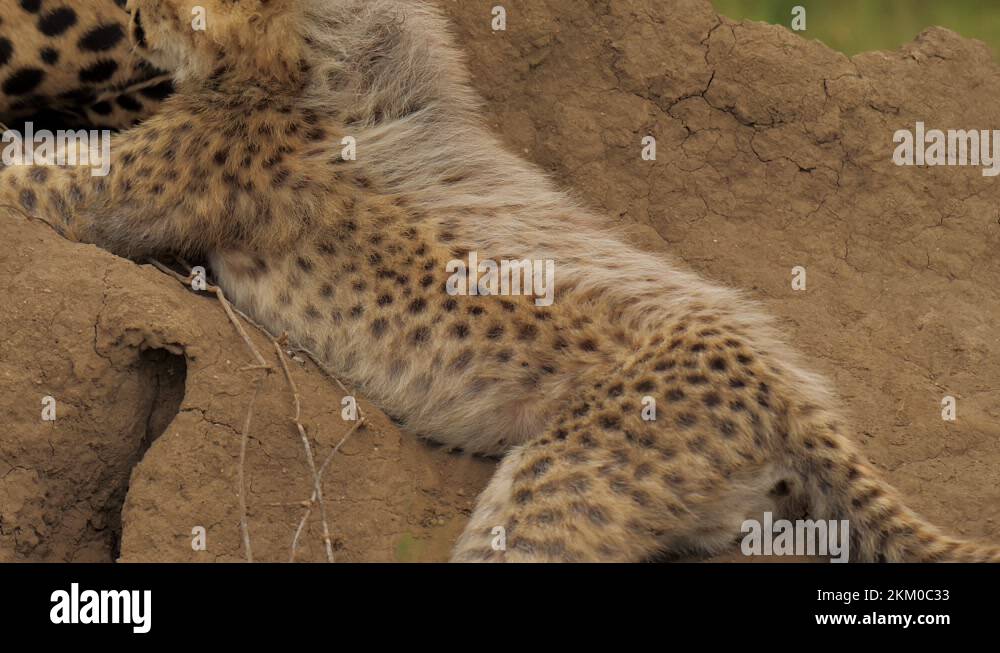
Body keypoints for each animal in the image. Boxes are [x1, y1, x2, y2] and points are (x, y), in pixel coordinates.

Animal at [2, 0, 997, 562]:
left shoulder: (110, 183)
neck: (316, 57)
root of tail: (784, 380)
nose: (136, 14)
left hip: (565, 482)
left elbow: (17, 169)